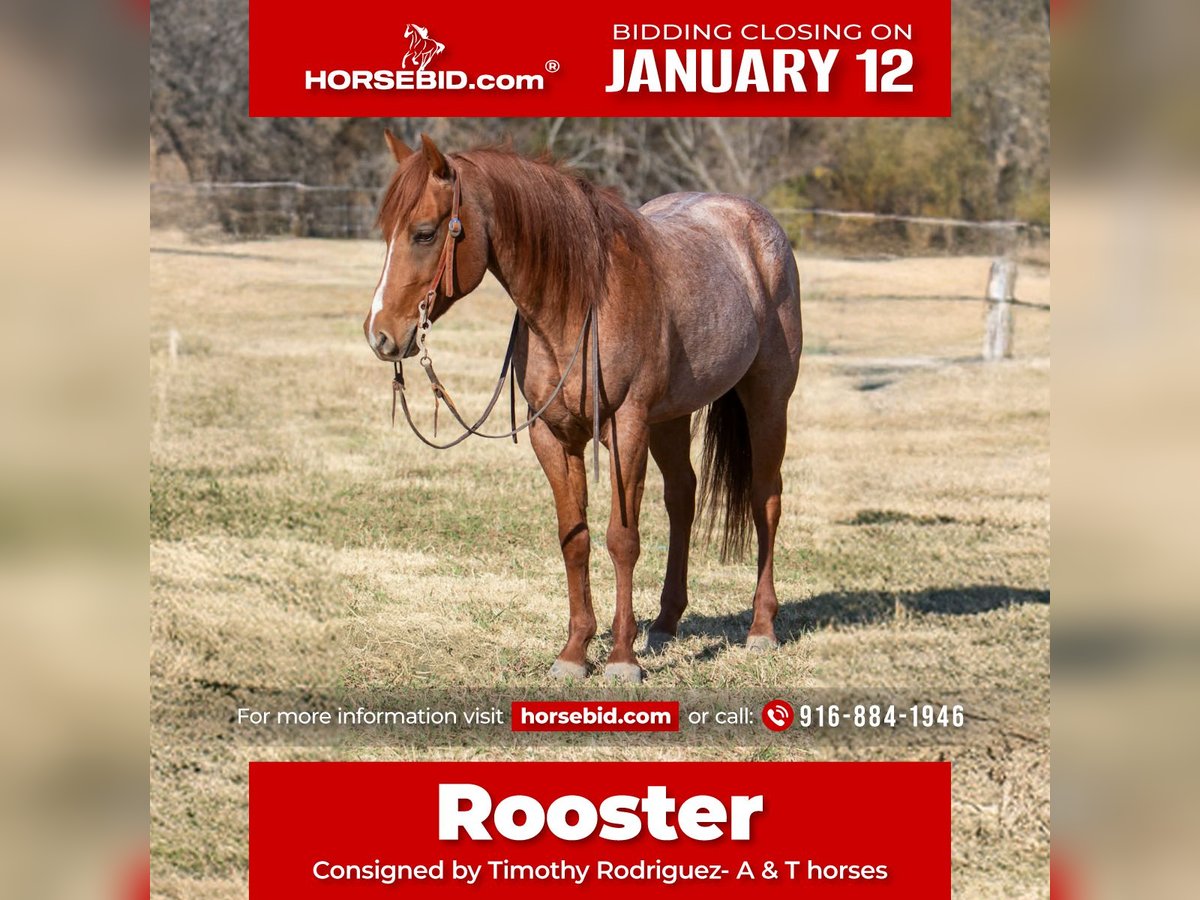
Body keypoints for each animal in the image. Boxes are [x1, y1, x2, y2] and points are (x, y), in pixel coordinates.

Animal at [364, 132, 803, 682]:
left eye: (424, 234)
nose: (379, 335)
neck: (578, 301)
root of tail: (759, 224)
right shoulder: (552, 436)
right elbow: (575, 538)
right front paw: (575, 653)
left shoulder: (627, 428)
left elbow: (622, 539)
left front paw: (621, 659)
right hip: (671, 418)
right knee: (682, 498)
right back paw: (665, 624)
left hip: (767, 399)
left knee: (766, 500)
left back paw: (761, 628)